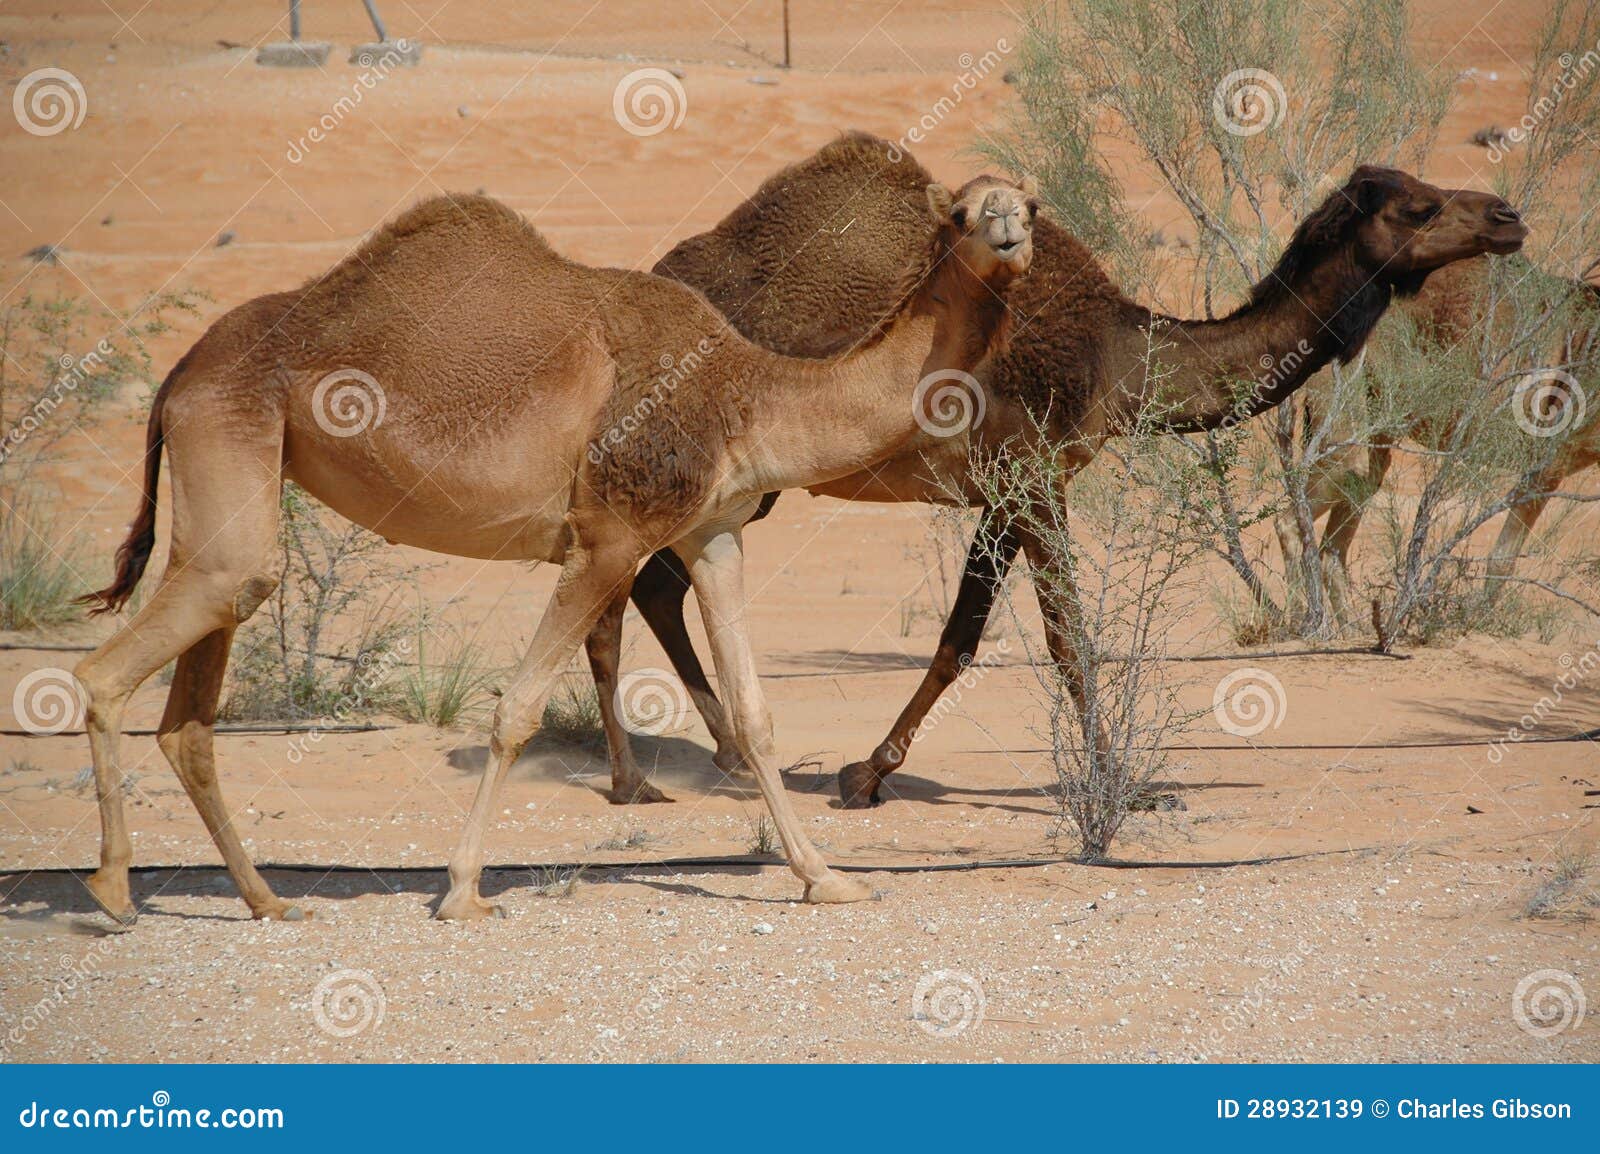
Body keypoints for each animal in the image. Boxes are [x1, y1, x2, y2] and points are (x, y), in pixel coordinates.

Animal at [73, 167, 1037, 923]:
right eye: (962, 211)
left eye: (1028, 199)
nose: (1012, 233)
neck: (745, 393)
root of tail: (179, 372)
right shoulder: (608, 535)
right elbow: (516, 711)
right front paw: (463, 892)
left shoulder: (712, 531)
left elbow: (756, 717)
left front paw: (826, 878)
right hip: (230, 440)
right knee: (105, 671)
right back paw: (114, 890)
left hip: (239, 481)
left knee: (191, 708)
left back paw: (266, 899)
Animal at [580, 132, 1528, 809]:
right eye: (1420, 206)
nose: (1507, 216)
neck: (1117, 353)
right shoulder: (1032, 479)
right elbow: (1064, 641)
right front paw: (1119, 786)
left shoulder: (1014, 490)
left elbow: (962, 639)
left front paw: (868, 772)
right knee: (620, 591)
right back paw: (635, 781)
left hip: (741, 484)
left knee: (650, 589)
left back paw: (727, 759)